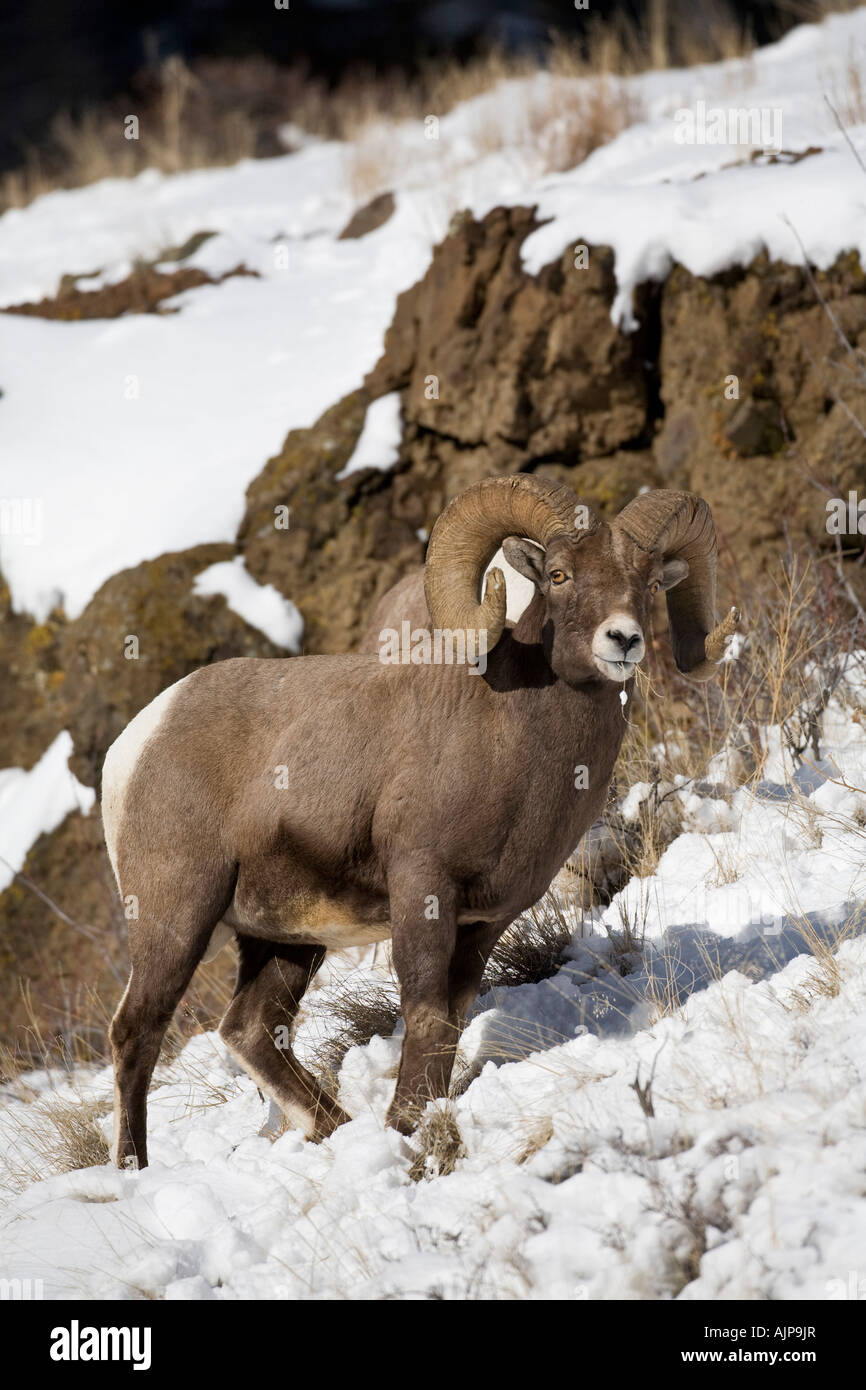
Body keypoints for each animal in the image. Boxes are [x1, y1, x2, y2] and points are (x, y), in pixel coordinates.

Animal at [103, 474, 739, 1167]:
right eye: (561, 575)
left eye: (649, 583)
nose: (622, 640)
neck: (512, 739)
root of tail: (134, 745)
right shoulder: (422, 889)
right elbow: (426, 1011)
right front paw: (408, 1128)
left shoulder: (485, 921)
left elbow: (452, 1018)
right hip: (176, 916)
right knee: (137, 1031)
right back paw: (133, 1170)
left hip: (284, 939)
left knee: (250, 1028)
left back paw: (336, 1128)